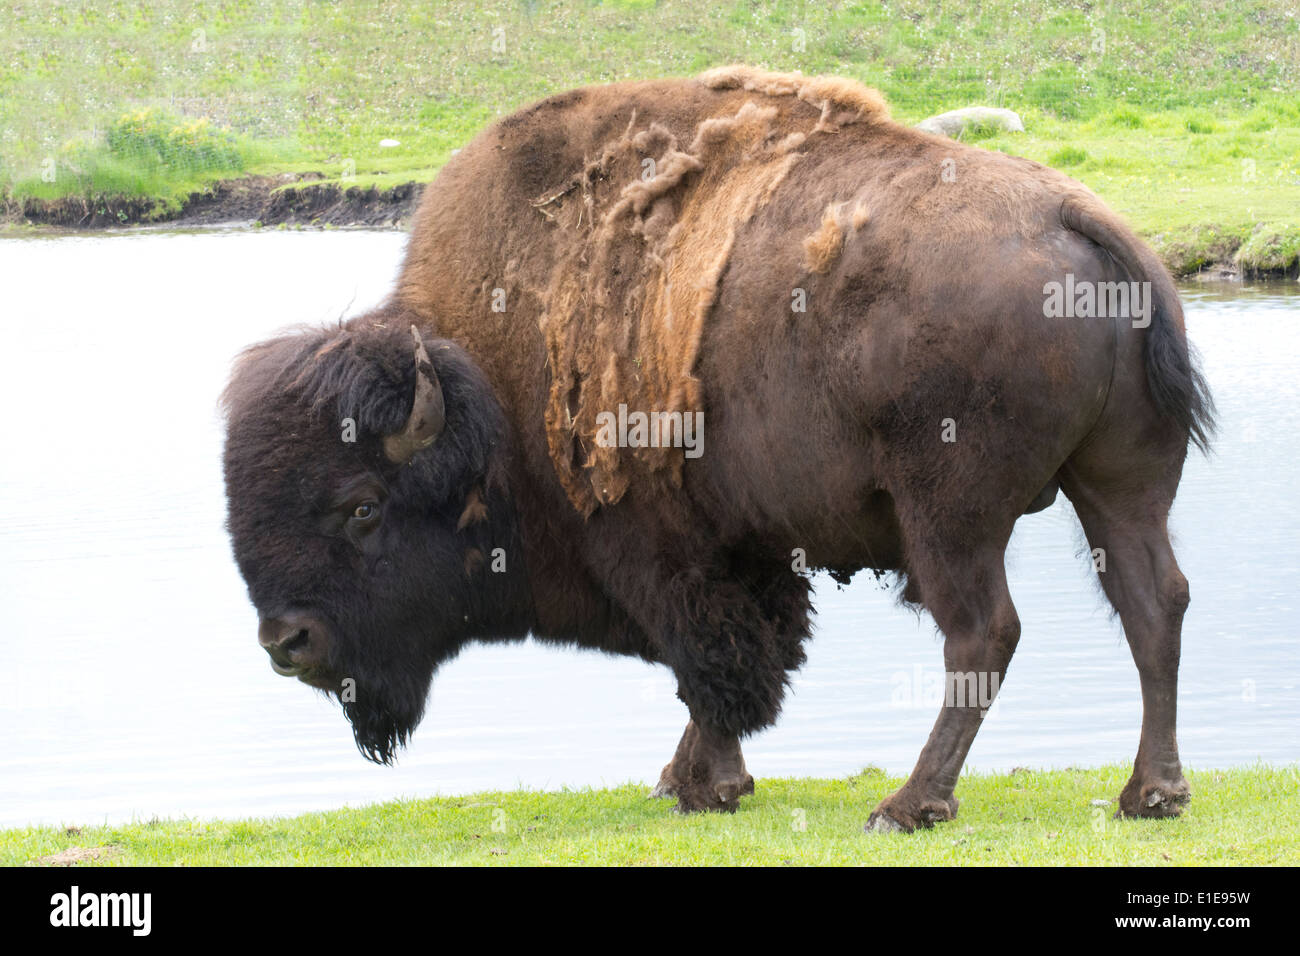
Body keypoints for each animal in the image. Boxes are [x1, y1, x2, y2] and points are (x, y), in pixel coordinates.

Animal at [222, 67, 1214, 831]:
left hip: (950, 515)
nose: (286, 642)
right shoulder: (748, 546)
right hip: (1122, 484)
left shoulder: (660, 549)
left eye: (361, 507)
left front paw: (707, 786)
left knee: (984, 633)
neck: (489, 399)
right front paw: (687, 780)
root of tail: (1075, 218)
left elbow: (709, 665)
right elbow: (738, 658)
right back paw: (1151, 794)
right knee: (1153, 604)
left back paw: (909, 804)